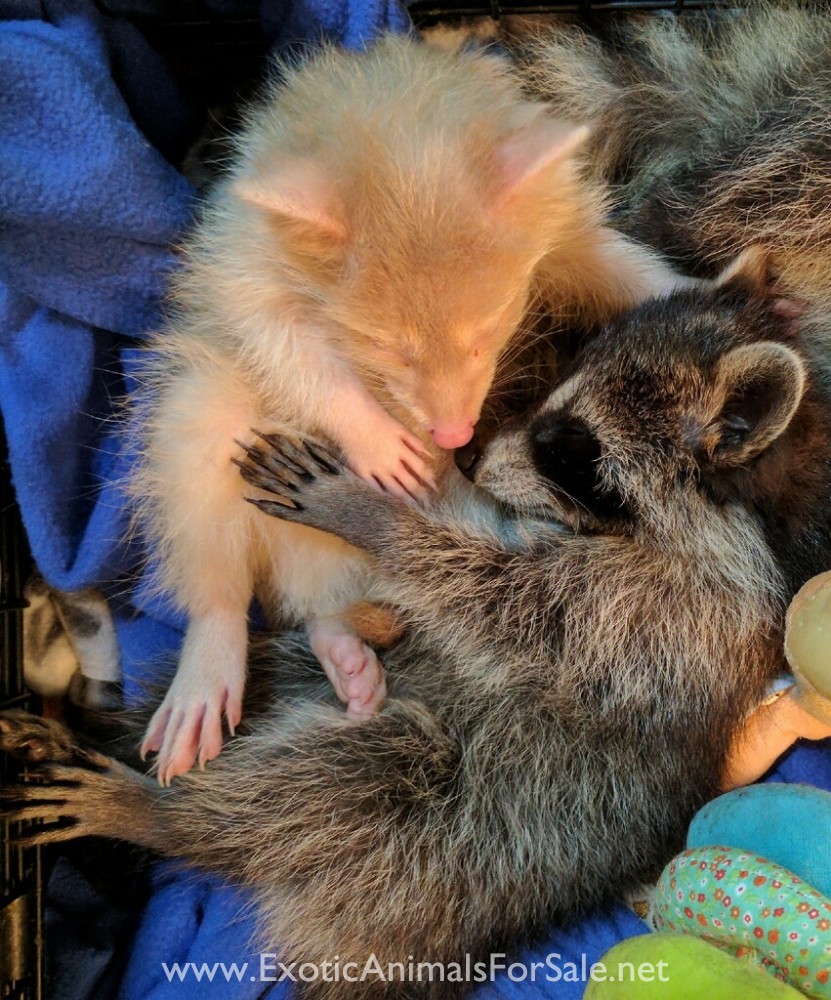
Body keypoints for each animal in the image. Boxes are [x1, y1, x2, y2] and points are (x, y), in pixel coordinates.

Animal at [3, 252, 829, 999]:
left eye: (563, 446)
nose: (466, 453)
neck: (750, 517)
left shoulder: (666, 620)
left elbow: (507, 605)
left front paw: (377, 518)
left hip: (430, 858)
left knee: (350, 778)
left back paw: (166, 815)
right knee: (284, 672)